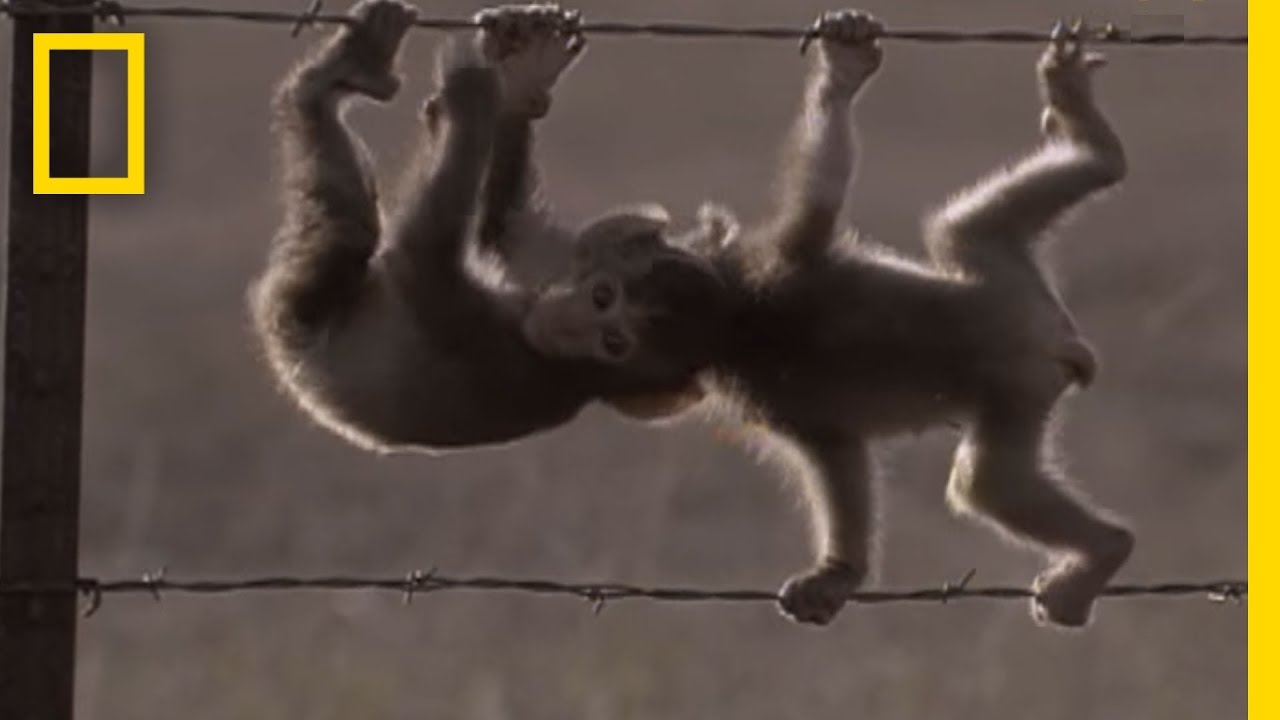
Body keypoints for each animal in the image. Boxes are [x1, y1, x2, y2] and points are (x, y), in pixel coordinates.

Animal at [247, 0, 728, 454]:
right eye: (602, 296)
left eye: (614, 343)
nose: (571, 324)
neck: (574, 371)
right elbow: (506, 227)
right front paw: (524, 81)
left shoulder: (498, 351)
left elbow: (418, 253)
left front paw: (474, 91)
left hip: (299, 307)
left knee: (347, 223)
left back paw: (336, 77)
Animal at [605, 12, 1134, 628]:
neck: (736, 321)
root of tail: (1056, 340)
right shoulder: (784, 393)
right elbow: (840, 460)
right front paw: (837, 575)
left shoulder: (780, 257)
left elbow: (819, 193)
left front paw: (840, 73)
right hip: (1012, 331)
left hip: (1014, 338)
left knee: (983, 480)